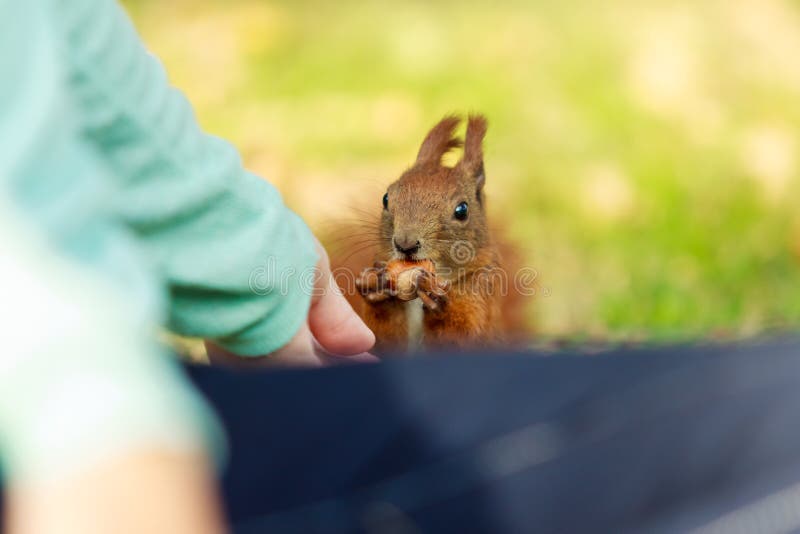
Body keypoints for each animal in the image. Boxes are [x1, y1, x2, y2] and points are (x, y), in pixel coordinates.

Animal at [348, 114, 518, 354]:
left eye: (462, 210)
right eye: (386, 198)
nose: (405, 244)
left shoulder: (482, 289)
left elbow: (462, 334)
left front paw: (439, 303)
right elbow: (382, 339)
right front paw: (375, 289)